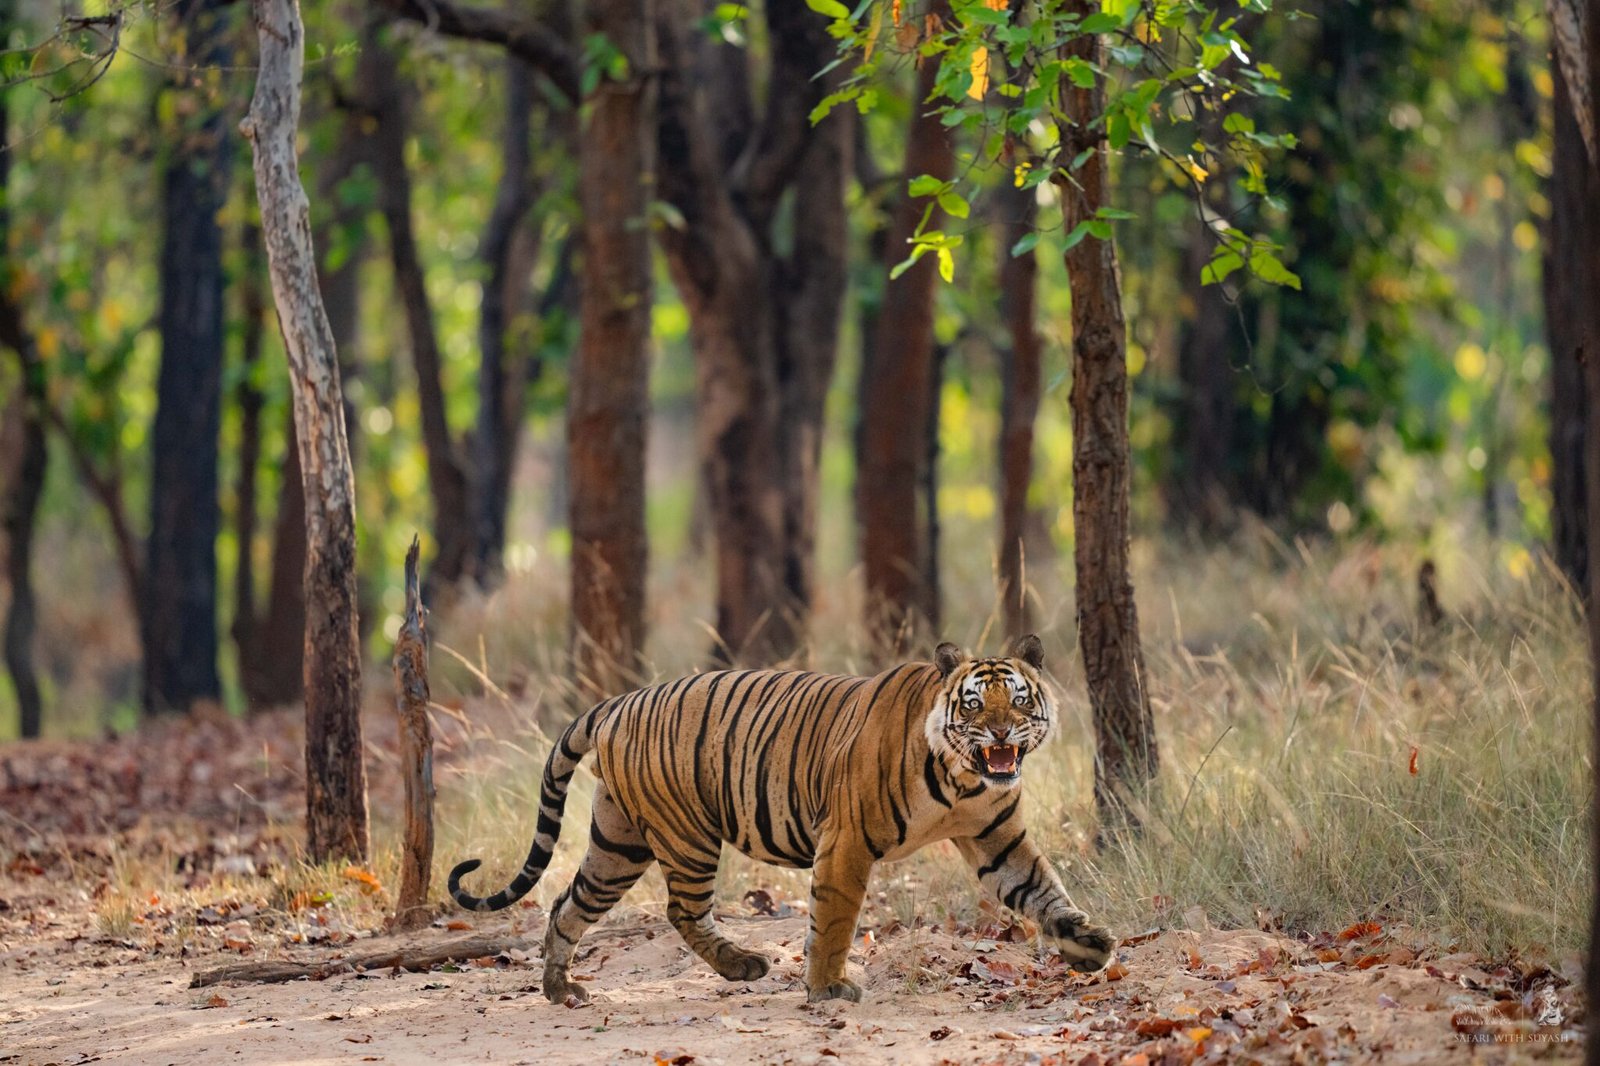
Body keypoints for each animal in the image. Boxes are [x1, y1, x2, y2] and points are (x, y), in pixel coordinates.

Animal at [448, 634, 1116, 1004]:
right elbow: (835, 919)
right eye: (974, 705)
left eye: (1020, 700)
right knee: (680, 910)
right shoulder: (846, 841)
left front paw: (1088, 945)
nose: (1001, 732)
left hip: (618, 842)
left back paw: (560, 989)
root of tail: (618, 701)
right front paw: (828, 989)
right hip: (685, 836)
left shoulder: (996, 837)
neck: (963, 780)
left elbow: (1042, 890)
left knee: (570, 903)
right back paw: (741, 965)